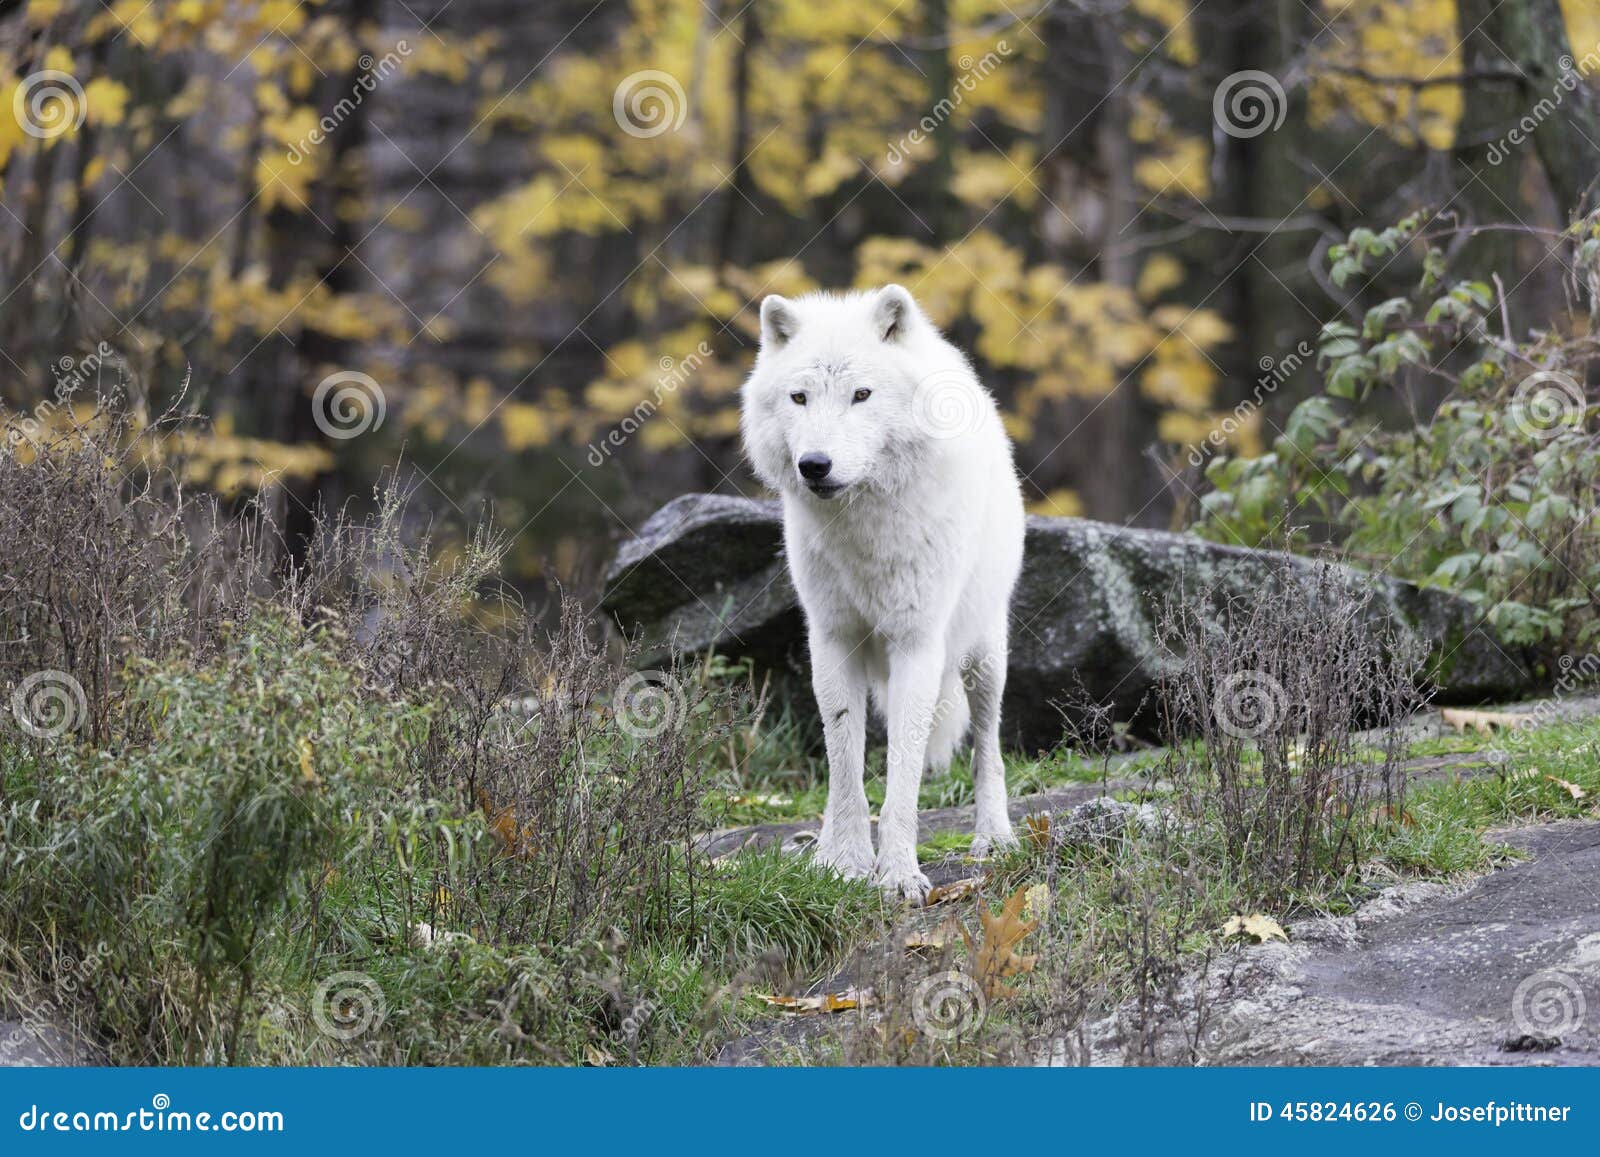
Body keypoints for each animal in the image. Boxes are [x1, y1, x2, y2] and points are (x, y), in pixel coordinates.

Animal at [740, 284, 1026, 902]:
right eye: (799, 397)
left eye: (861, 395)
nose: (814, 465)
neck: (863, 528)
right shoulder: (831, 638)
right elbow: (845, 761)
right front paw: (845, 864)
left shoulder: (917, 645)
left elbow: (904, 772)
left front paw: (898, 875)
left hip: (983, 656)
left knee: (987, 749)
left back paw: (994, 838)